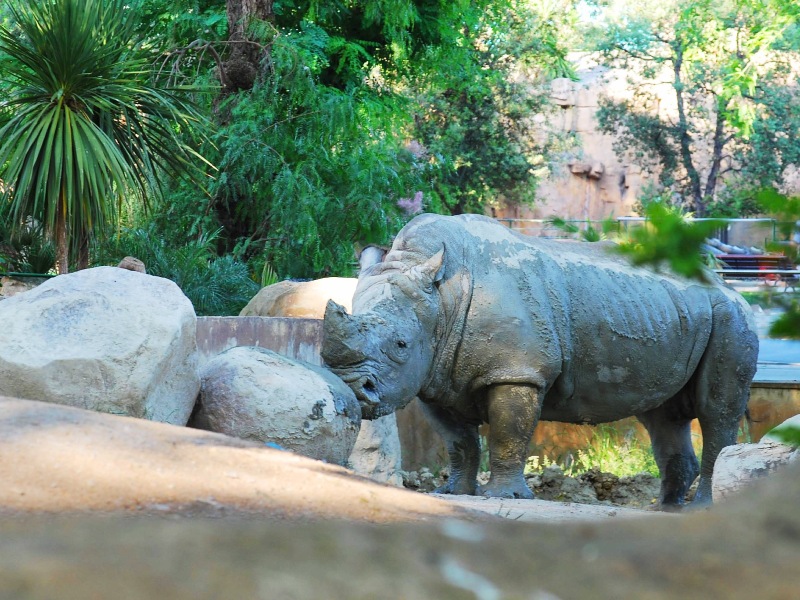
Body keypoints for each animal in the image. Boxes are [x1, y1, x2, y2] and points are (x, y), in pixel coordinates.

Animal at [322, 214, 758, 507]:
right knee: (663, 417)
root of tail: (722, 282)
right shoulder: (435, 378)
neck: (444, 299)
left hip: (732, 317)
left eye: (400, 344)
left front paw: (506, 497)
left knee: (716, 412)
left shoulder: (517, 372)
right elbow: (459, 441)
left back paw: (702, 508)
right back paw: (664, 510)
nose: (352, 387)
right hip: (669, 311)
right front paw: (452, 492)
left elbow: (507, 433)